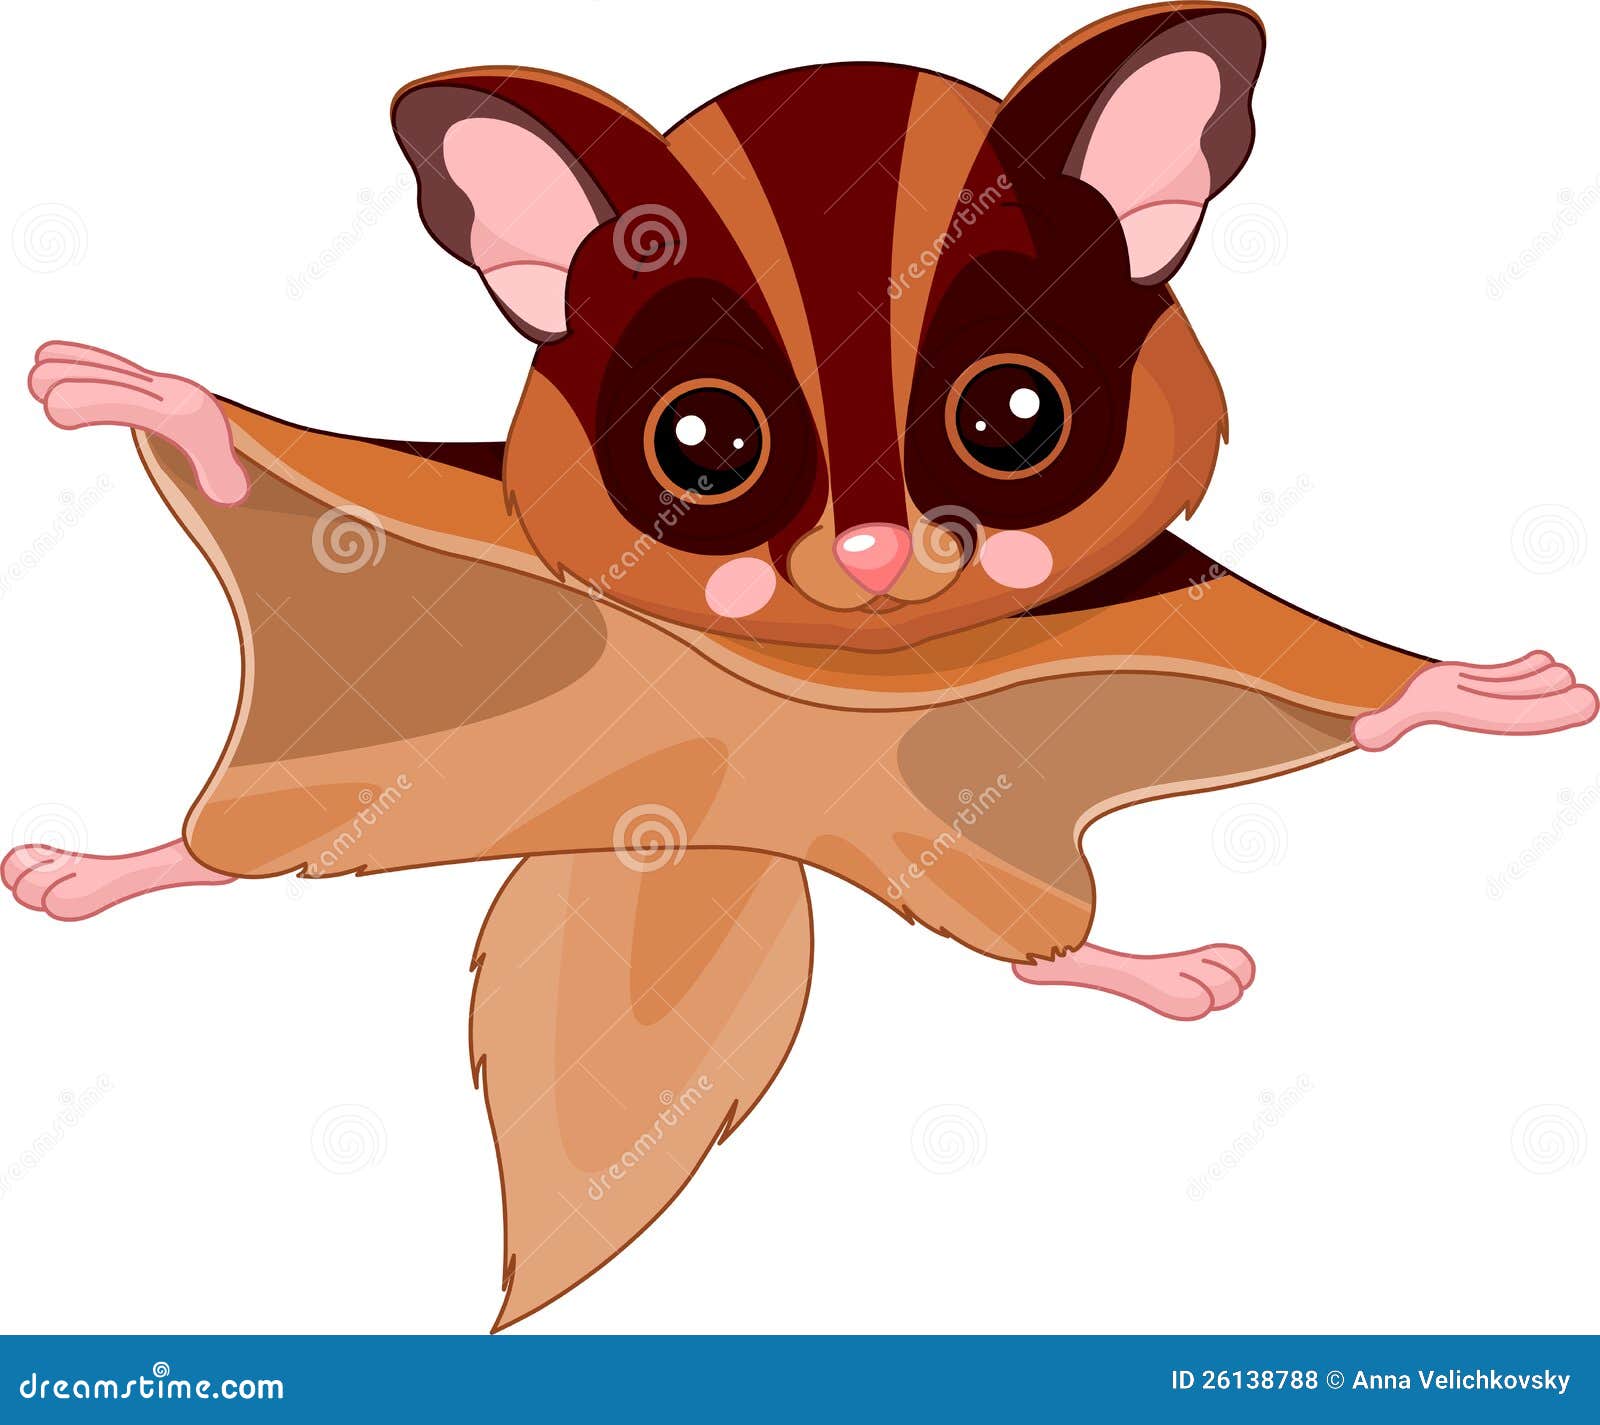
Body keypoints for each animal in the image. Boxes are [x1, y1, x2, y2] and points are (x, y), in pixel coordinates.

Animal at [8, 5, 1594, 1329]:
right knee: (246, 837)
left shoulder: (1139, 608)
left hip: (946, 836)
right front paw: (169, 412)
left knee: (1037, 942)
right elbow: (277, 466)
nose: (879, 555)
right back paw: (97, 874)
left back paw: (1148, 970)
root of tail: (691, 825)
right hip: (406, 759)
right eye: (703, 443)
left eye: (1014, 416)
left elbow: (1305, 667)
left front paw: (1459, 692)